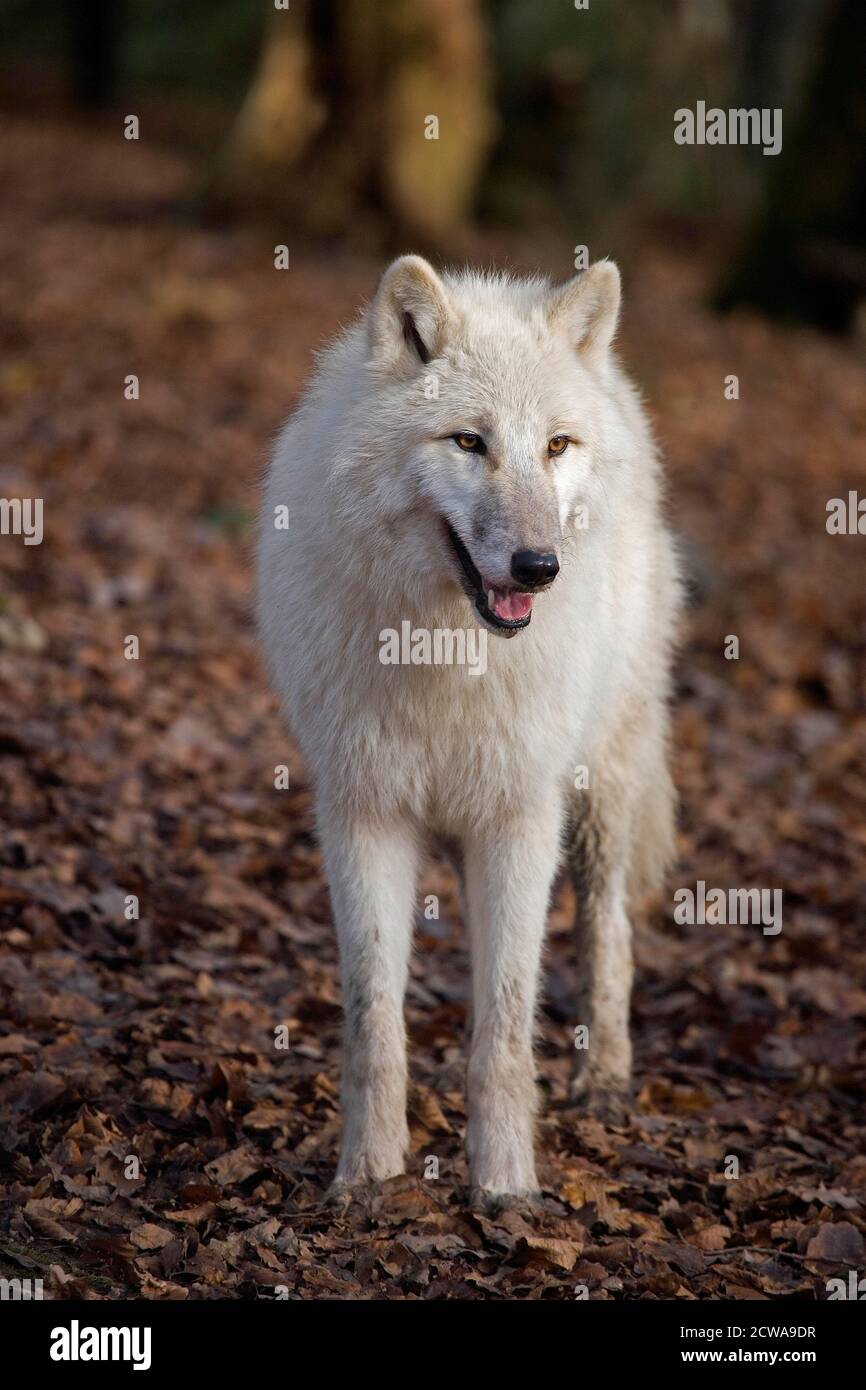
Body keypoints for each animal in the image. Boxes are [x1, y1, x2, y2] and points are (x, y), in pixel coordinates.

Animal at [258, 254, 681, 1202]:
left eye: (555, 446)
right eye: (467, 442)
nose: (538, 566)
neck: (449, 653)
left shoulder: (521, 817)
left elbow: (508, 1026)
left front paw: (505, 1187)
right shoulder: (365, 812)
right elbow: (374, 1019)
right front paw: (367, 1177)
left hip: (600, 791)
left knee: (608, 929)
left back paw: (605, 1078)